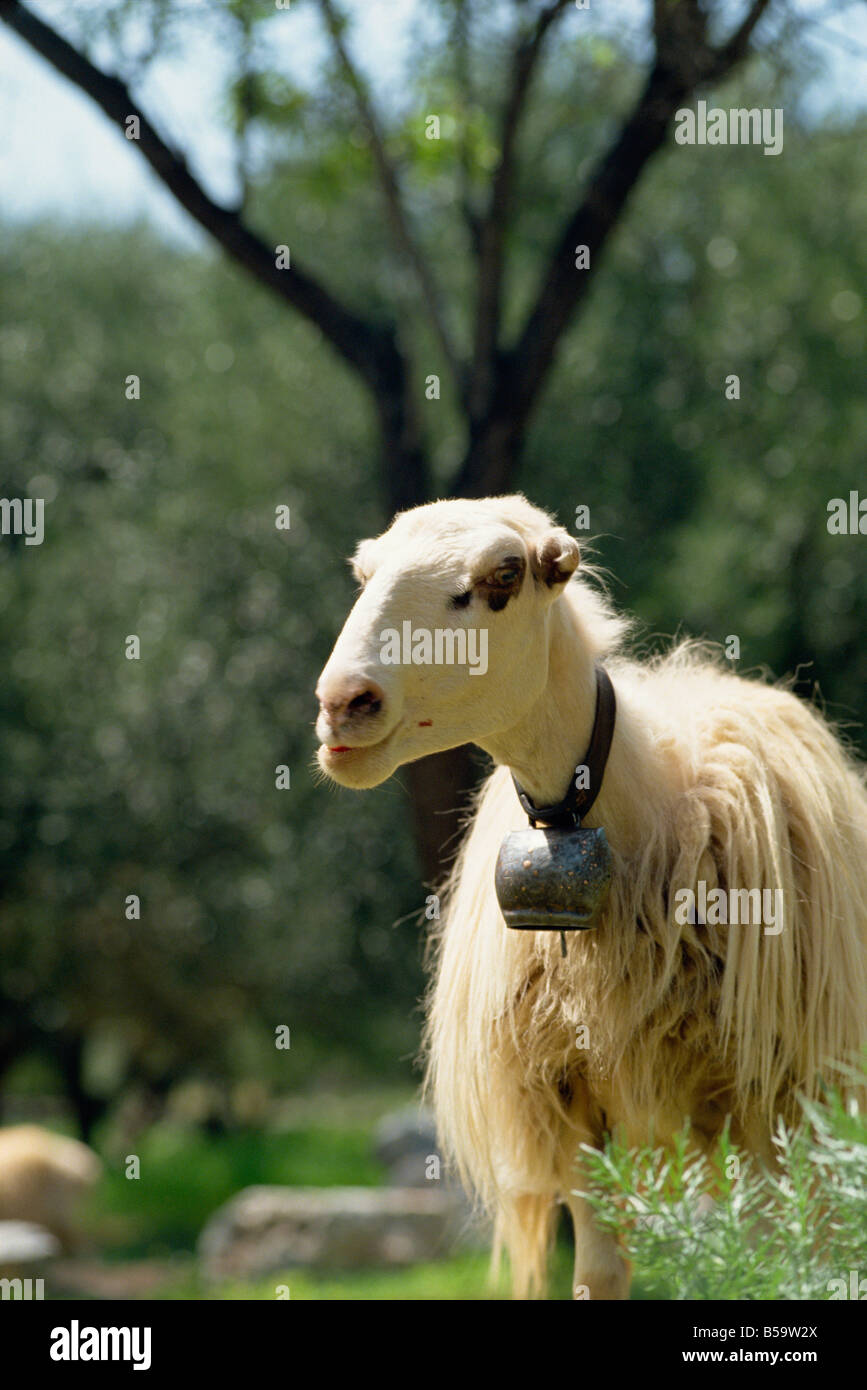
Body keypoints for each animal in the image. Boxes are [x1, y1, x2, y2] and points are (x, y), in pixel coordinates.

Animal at [315, 494, 867, 1300]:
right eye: (363, 574)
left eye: (503, 575)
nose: (342, 704)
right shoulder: (570, 1098)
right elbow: (601, 1272)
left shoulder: (763, 1091)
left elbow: (772, 1265)